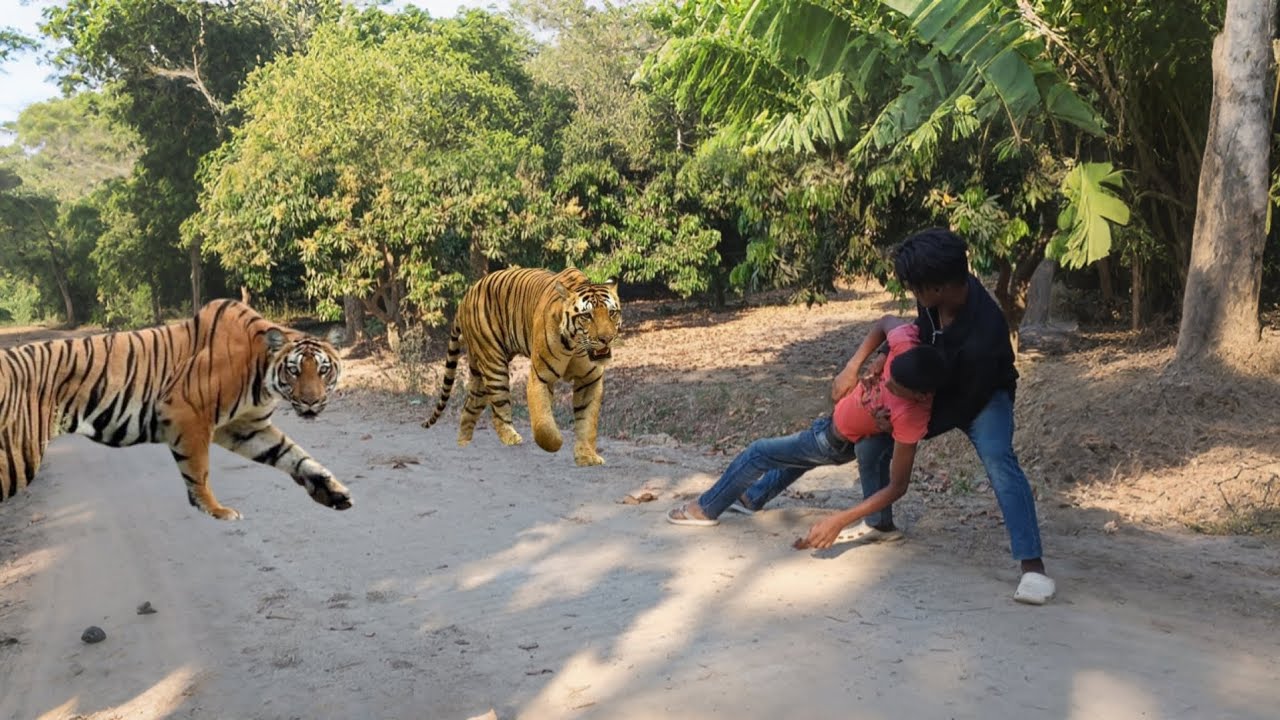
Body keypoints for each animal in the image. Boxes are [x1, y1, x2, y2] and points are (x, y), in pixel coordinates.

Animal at [0, 299, 352, 520]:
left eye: (323, 370)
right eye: (294, 370)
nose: (311, 401)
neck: (264, 377)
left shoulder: (245, 427)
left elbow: (294, 455)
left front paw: (332, 492)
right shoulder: (188, 413)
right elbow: (198, 470)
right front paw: (216, 511)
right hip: (15, 457)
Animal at [421, 267, 621, 466]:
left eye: (612, 313)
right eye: (587, 316)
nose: (607, 338)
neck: (576, 348)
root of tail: (466, 297)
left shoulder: (590, 380)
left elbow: (587, 421)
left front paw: (587, 456)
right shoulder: (540, 377)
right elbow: (543, 424)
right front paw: (556, 443)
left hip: (479, 371)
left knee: (469, 408)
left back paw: (463, 445)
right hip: (494, 364)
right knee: (498, 410)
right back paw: (511, 438)